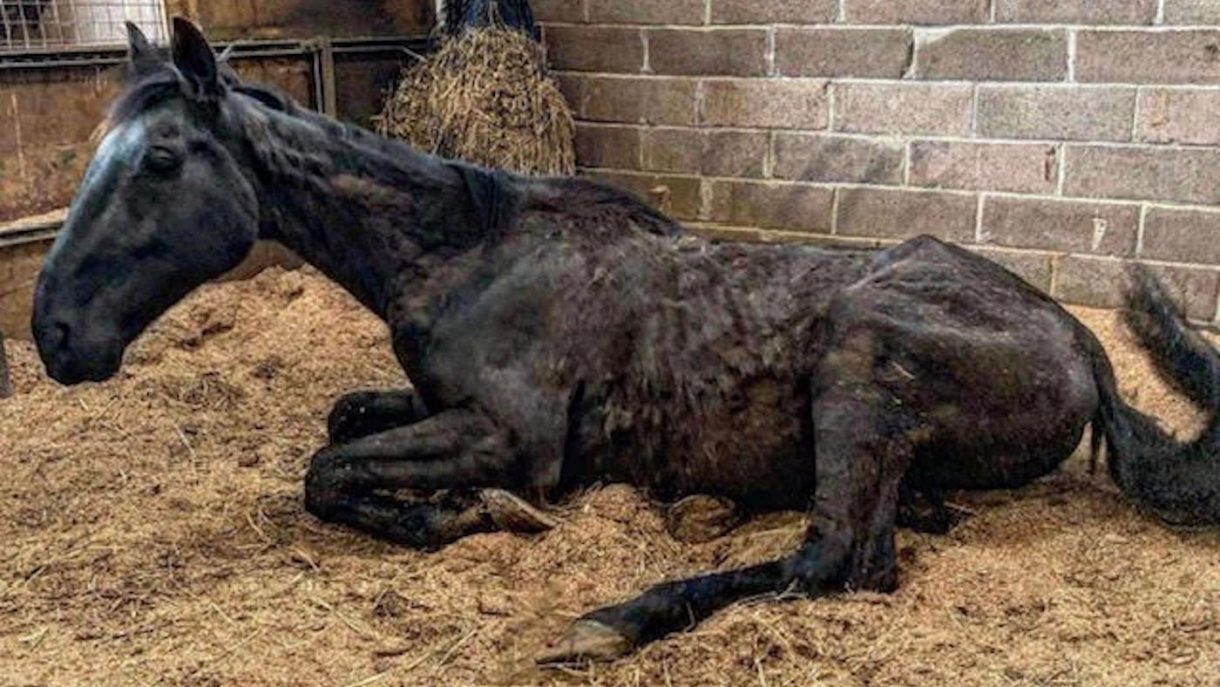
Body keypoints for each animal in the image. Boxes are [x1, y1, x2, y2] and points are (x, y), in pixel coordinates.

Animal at [32, 19, 1220, 663]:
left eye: (161, 161)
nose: (52, 333)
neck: (470, 252)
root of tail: (1084, 348)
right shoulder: (437, 403)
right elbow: (339, 426)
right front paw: (443, 510)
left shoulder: (517, 437)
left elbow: (328, 471)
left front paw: (467, 516)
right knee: (871, 545)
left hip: (859, 357)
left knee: (835, 561)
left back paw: (611, 619)